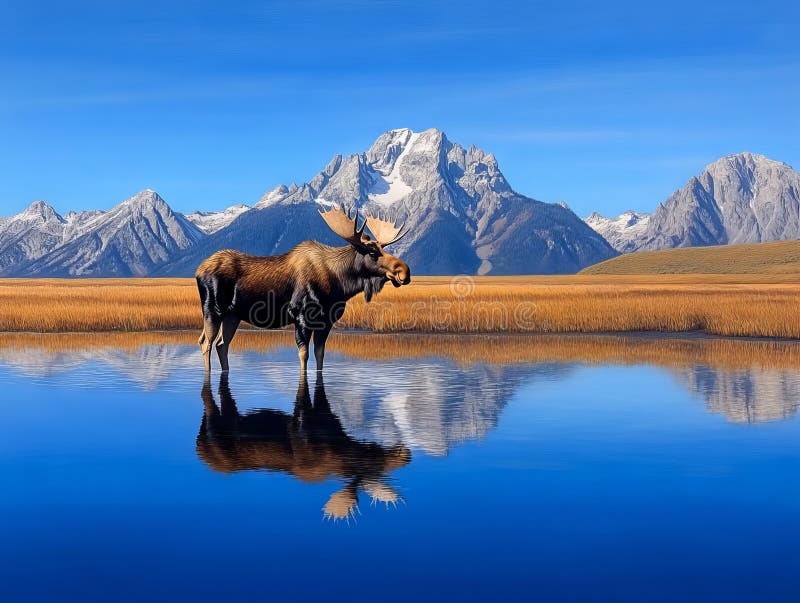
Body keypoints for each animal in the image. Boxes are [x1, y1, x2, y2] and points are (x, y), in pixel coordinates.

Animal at [195, 206, 411, 373]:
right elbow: (303, 355)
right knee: (205, 342)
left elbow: (320, 355)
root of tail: (198, 271)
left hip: (233, 315)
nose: (404, 271)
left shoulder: (326, 321)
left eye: (383, 249)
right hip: (212, 310)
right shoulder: (301, 316)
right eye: (373, 253)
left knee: (222, 344)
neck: (339, 287)